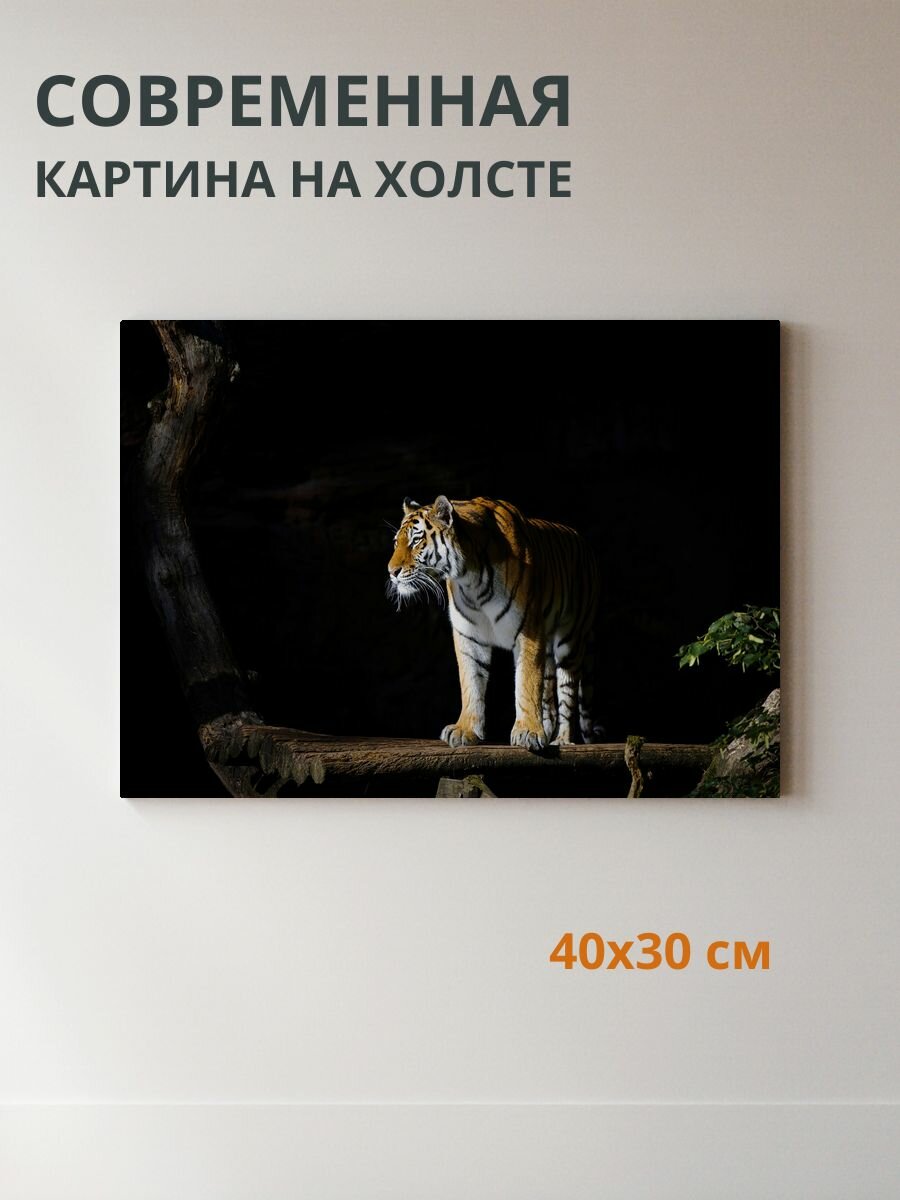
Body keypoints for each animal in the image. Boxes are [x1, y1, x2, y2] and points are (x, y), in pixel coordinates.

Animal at [387, 495, 599, 751]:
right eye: (396, 543)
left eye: (416, 541)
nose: (391, 572)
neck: (470, 579)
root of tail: (581, 539)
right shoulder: (469, 635)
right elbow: (471, 682)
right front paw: (465, 730)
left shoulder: (528, 630)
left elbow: (526, 683)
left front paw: (527, 731)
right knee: (548, 698)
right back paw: (548, 735)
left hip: (569, 641)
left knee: (567, 694)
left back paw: (563, 740)